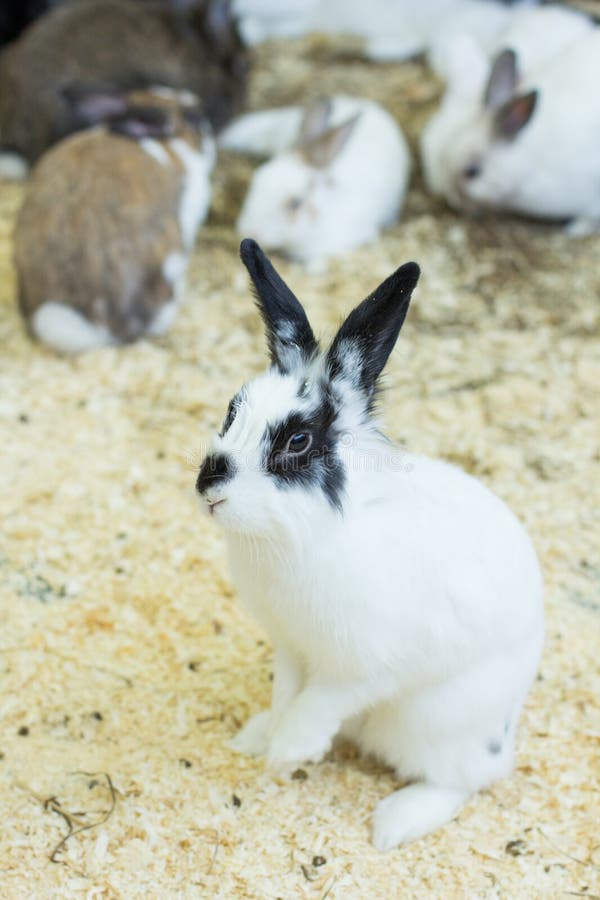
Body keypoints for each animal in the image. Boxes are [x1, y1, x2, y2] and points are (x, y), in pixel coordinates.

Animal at [195, 239, 544, 849]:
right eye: (232, 410)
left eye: (297, 440)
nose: (208, 488)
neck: (306, 533)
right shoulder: (291, 646)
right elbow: (288, 691)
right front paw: (272, 737)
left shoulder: (363, 667)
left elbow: (321, 703)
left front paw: (290, 750)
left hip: (436, 724)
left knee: (468, 779)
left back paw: (394, 823)